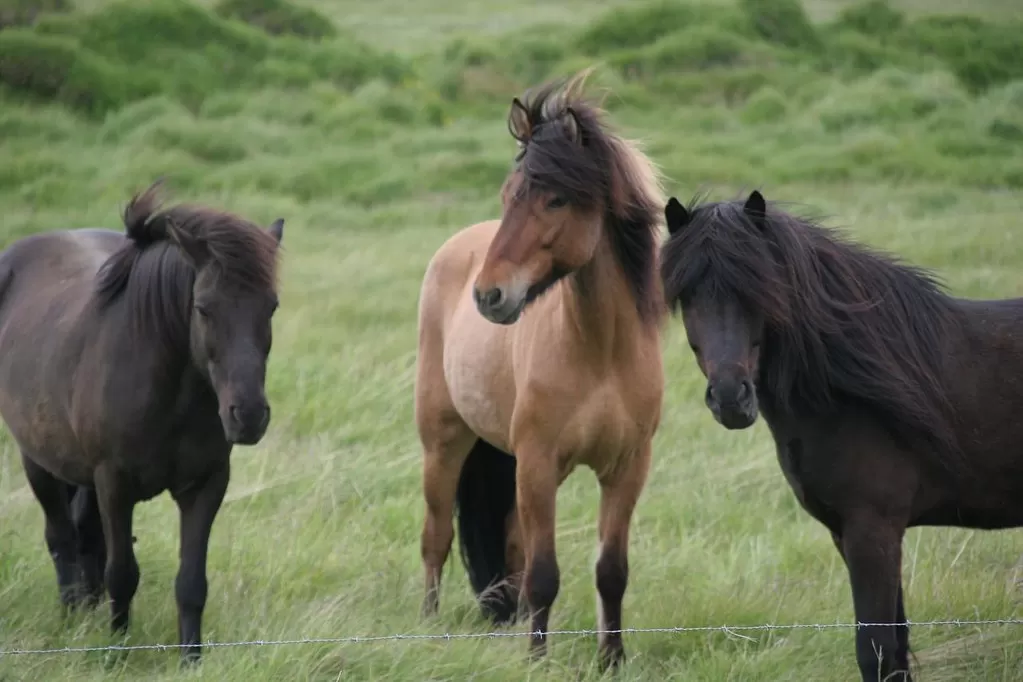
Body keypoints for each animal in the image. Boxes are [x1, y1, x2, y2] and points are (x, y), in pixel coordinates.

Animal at [0, 180, 284, 662]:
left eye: (272, 307)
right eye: (203, 308)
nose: (247, 416)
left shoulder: (206, 484)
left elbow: (191, 581)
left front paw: (191, 659)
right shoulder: (114, 484)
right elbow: (122, 573)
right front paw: (115, 654)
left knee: (85, 535)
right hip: (37, 460)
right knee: (61, 537)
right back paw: (72, 617)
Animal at [417, 73, 671, 666]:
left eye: (555, 198)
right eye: (509, 195)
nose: (488, 296)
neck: (601, 352)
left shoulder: (627, 468)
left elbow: (610, 572)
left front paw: (612, 660)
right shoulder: (539, 465)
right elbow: (544, 575)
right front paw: (537, 661)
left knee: (509, 548)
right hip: (443, 444)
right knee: (436, 538)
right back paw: (428, 627)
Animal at [658, 191, 1023, 682]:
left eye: (760, 288)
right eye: (688, 294)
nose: (731, 398)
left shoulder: (873, 531)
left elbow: (875, 650)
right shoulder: (847, 534)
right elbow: (895, 649)